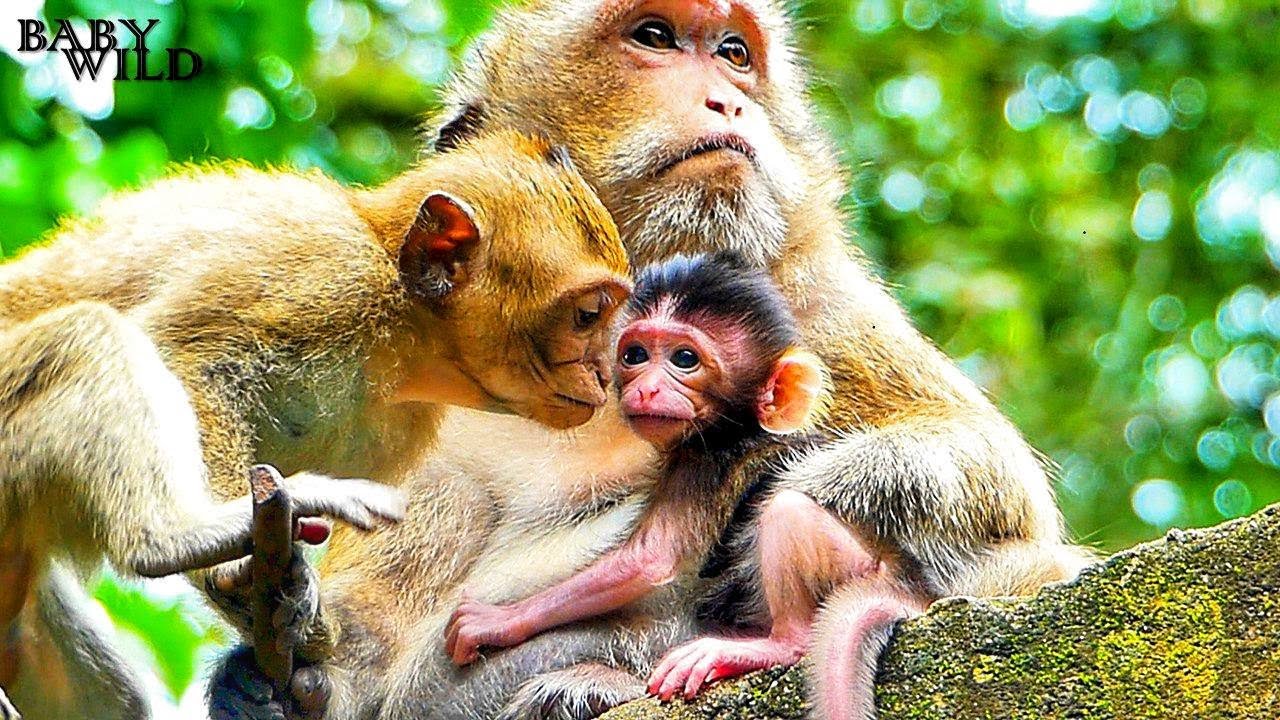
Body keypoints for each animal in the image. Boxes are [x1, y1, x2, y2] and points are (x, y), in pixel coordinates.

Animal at [0, 129, 630, 719]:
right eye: (588, 315)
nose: (604, 375)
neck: (404, 328)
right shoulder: (326, 276)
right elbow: (192, 362)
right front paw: (239, 571)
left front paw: (297, 624)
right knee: (90, 338)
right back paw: (172, 536)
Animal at [443, 251, 828, 668]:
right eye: (635, 355)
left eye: (685, 358)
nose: (647, 389)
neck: (739, 427)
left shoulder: (700, 464)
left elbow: (646, 561)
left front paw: (500, 621)